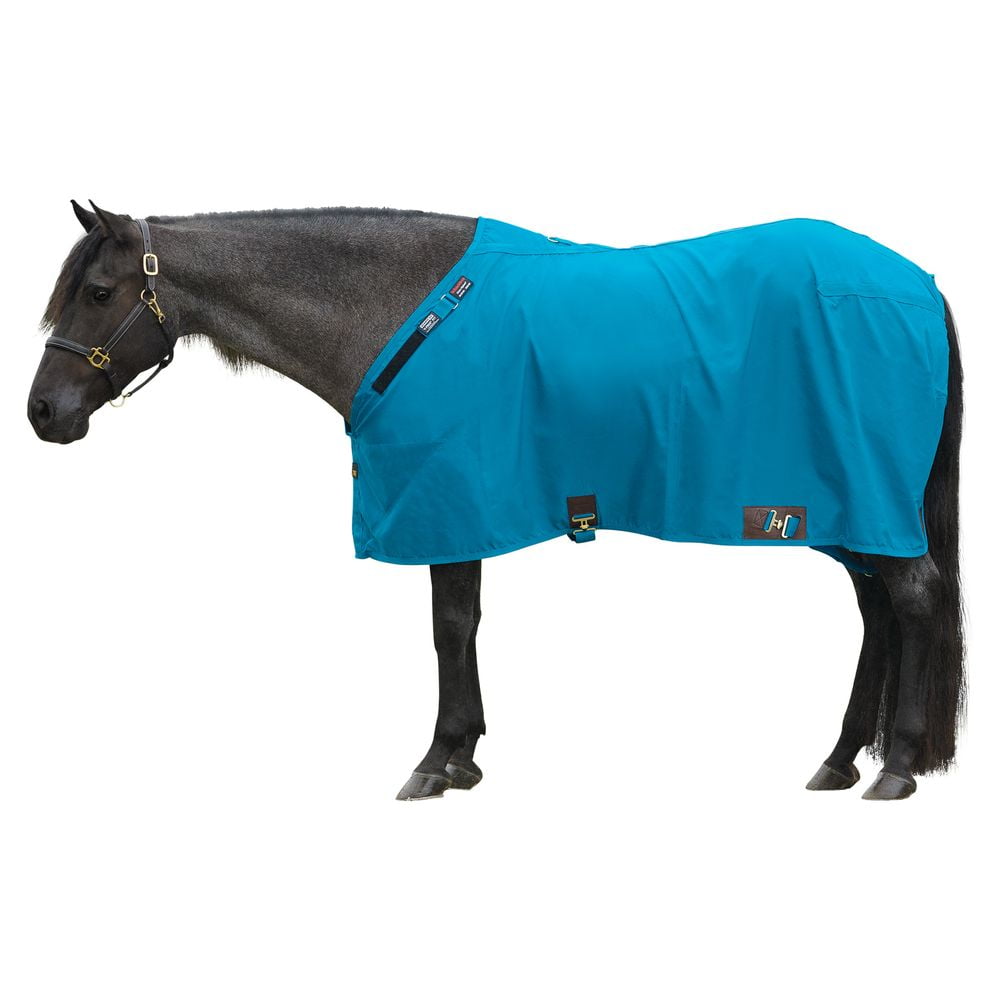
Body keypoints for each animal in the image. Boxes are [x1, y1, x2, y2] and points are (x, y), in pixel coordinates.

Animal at [27, 201, 965, 801]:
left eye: (99, 294)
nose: (43, 413)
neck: (403, 312)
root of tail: (917, 283)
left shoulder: (446, 501)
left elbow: (449, 628)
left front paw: (437, 761)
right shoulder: (458, 507)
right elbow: (466, 626)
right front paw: (464, 757)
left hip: (861, 501)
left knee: (914, 600)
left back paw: (894, 769)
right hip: (845, 512)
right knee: (878, 611)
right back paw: (839, 759)